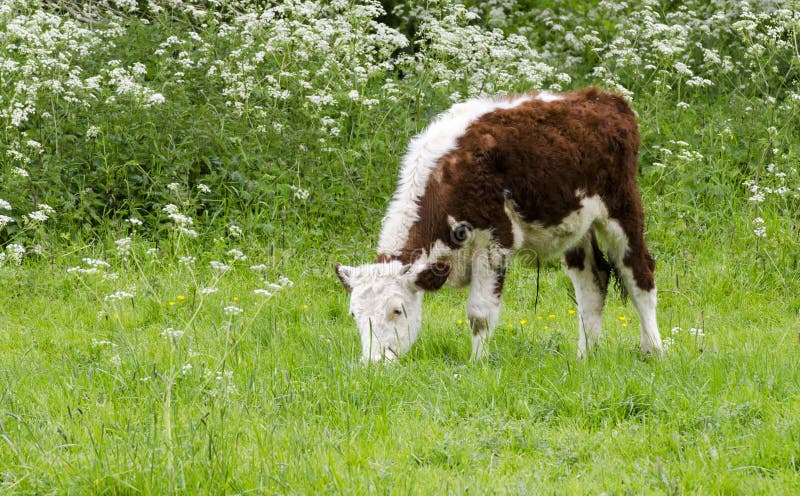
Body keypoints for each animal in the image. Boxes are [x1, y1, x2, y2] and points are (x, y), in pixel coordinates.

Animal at [335, 87, 663, 363]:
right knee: (593, 282)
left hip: (622, 208)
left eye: (397, 310)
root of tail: (604, 98)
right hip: (576, 224)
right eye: (353, 314)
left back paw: (654, 351)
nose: (373, 363)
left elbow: (479, 312)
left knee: (639, 274)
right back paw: (585, 357)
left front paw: (477, 365)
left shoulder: (495, 241)